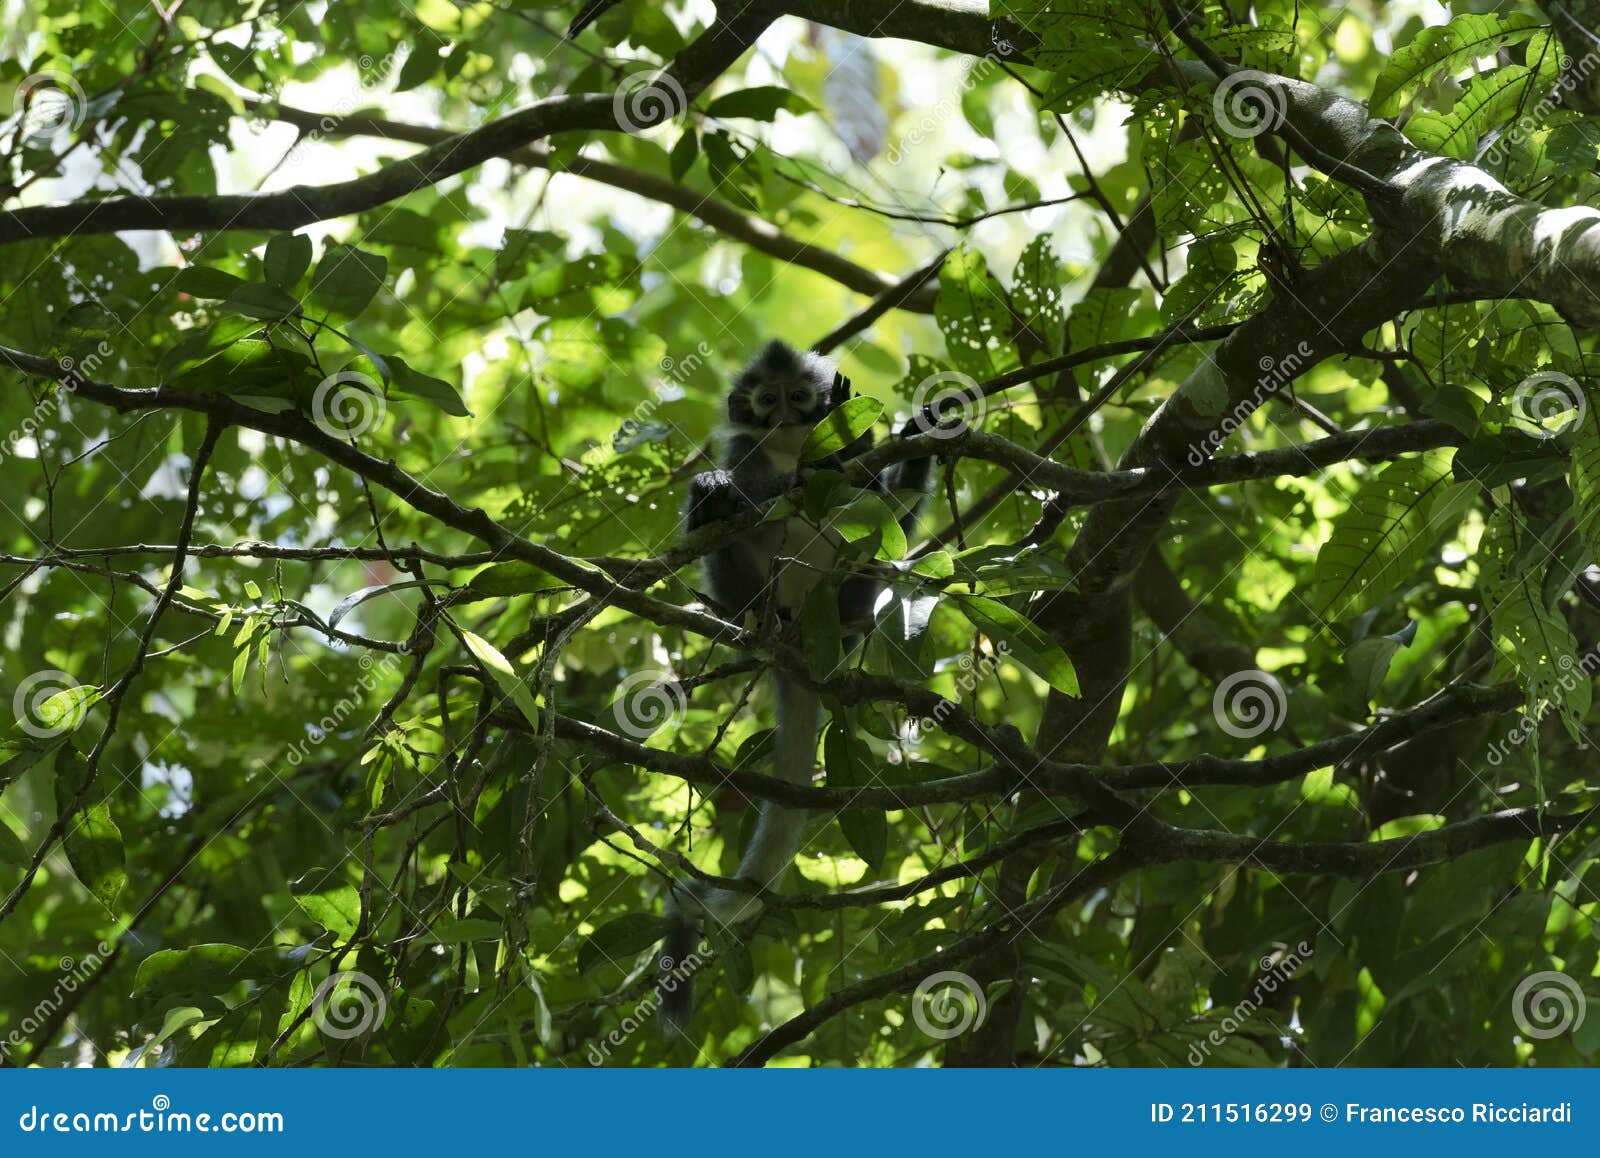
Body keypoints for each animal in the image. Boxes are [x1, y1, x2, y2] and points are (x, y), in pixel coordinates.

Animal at [658, 339, 935, 1030]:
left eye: (800, 396)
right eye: (768, 400)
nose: (788, 414)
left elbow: (882, 503)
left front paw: (891, 439)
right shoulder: (743, 450)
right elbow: (738, 495)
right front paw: (718, 492)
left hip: (845, 593)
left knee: (868, 543)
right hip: (747, 591)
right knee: (724, 544)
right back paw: (747, 598)